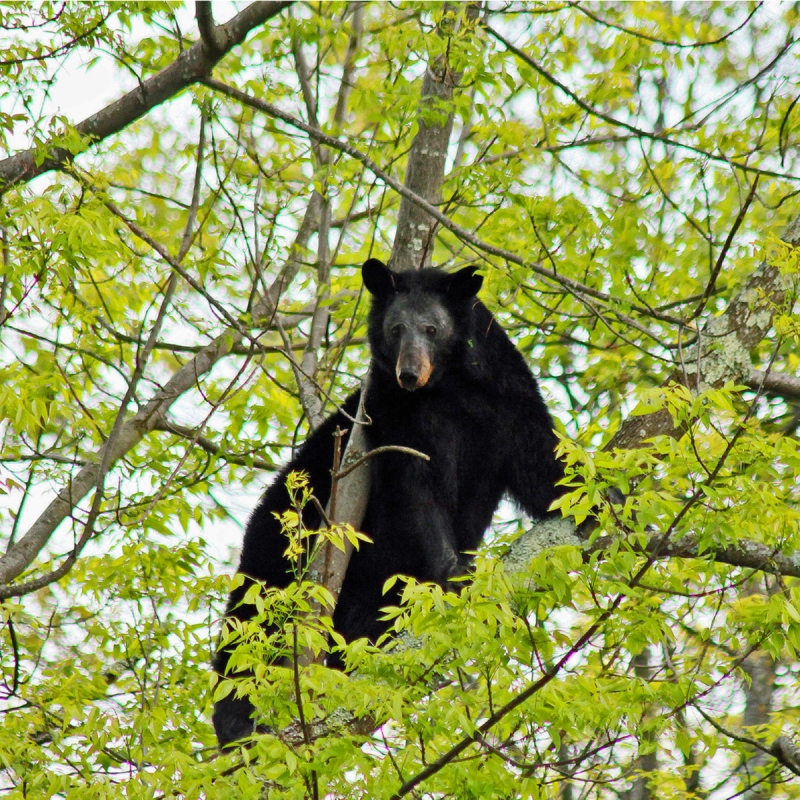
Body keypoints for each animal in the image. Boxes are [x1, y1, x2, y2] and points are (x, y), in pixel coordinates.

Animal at [212, 257, 565, 747]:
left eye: (433, 328)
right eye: (396, 329)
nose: (409, 374)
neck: (446, 388)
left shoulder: (505, 398)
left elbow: (541, 459)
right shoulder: (393, 416)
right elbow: (415, 491)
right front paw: (453, 572)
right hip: (281, 537)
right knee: (251, 623)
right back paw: (238, 720)